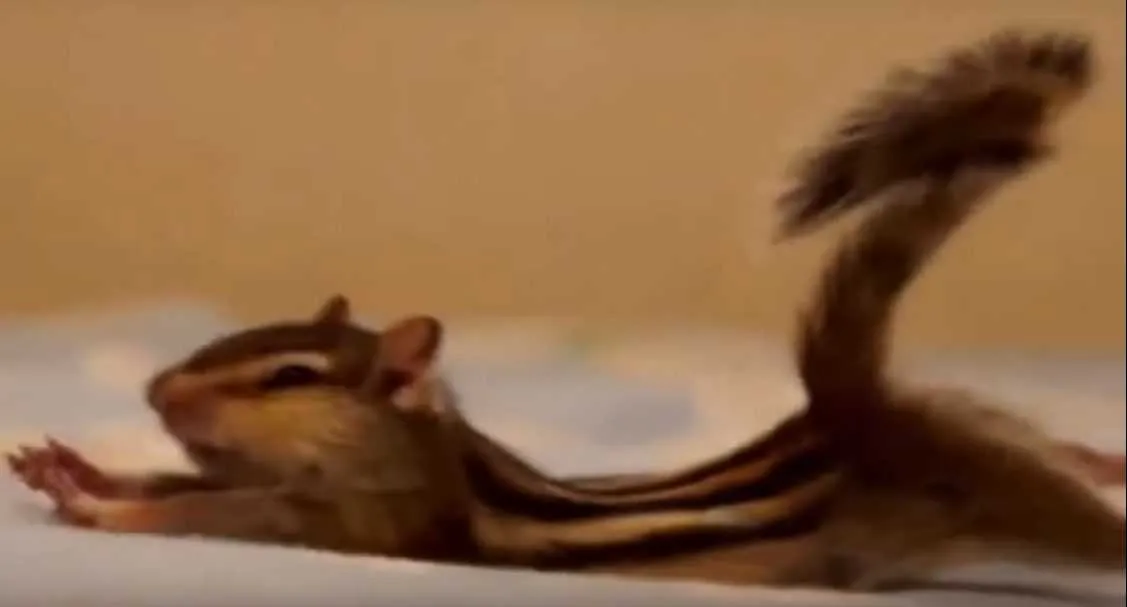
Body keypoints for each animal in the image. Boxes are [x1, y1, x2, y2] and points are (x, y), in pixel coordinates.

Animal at [7, 29, 1124, 590]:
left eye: (289, 376)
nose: (155, 389)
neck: (435, 457)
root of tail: (846, 409)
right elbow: (176, 479)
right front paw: (75, 465)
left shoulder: (352, 520)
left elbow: (204, 511)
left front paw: (103, 504)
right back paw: (1104, 455)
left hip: (1015, 497)